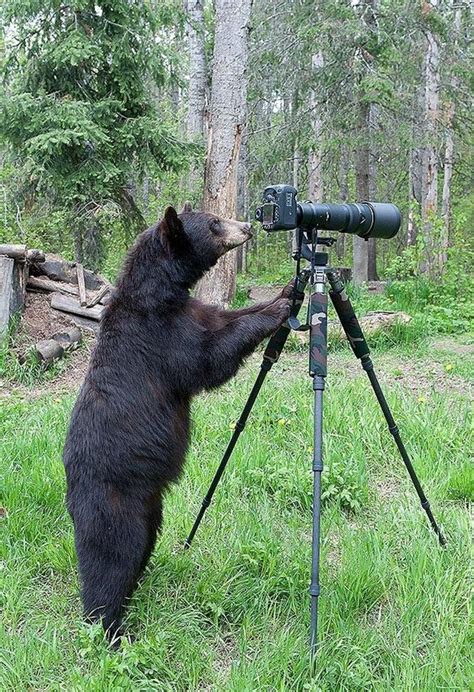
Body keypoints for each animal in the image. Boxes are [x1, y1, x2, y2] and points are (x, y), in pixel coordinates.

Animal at [63, 204, 292, 642]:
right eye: (215, 223)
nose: (248, 225)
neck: (160, 294)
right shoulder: (163, 338)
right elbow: (208, 359)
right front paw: (279, 309)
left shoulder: (193, 312)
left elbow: (225, 320)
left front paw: (287, 292)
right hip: (114, 503)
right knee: (110, 560)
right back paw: (111, 628)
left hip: (151, 506)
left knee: (140, 548)